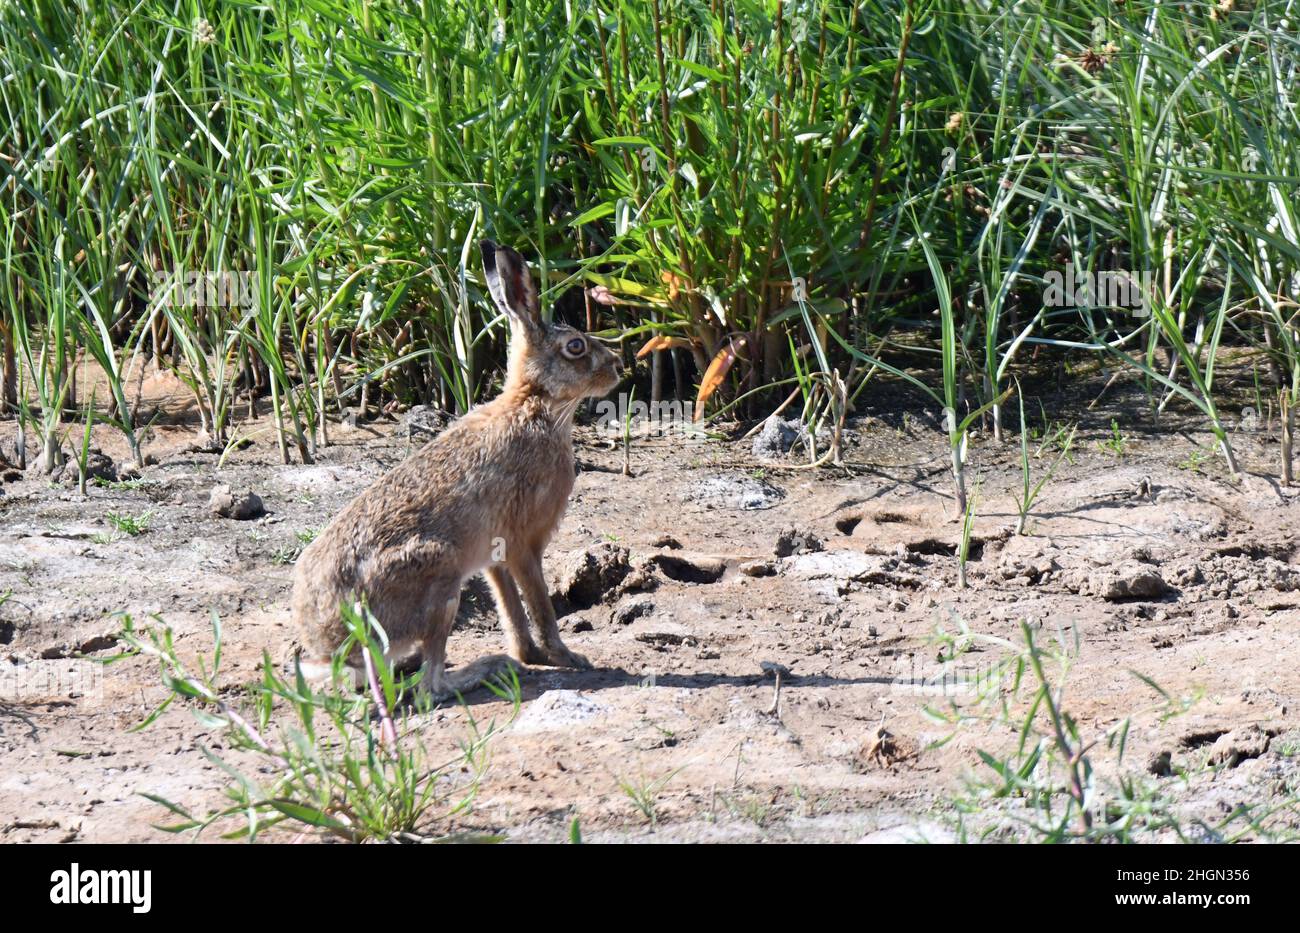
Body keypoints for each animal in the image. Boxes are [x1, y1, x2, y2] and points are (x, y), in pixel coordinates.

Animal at [291, 239, 623, 699]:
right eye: (576, 347)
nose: (618, 365)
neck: (534, 404)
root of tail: (332, 643)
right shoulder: (523, 542)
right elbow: (539, 604)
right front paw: (566, 657)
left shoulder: (494, 558)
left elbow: (510, 608)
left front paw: (529, 654)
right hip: (439, 576)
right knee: (431, 686)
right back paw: (483, 669)